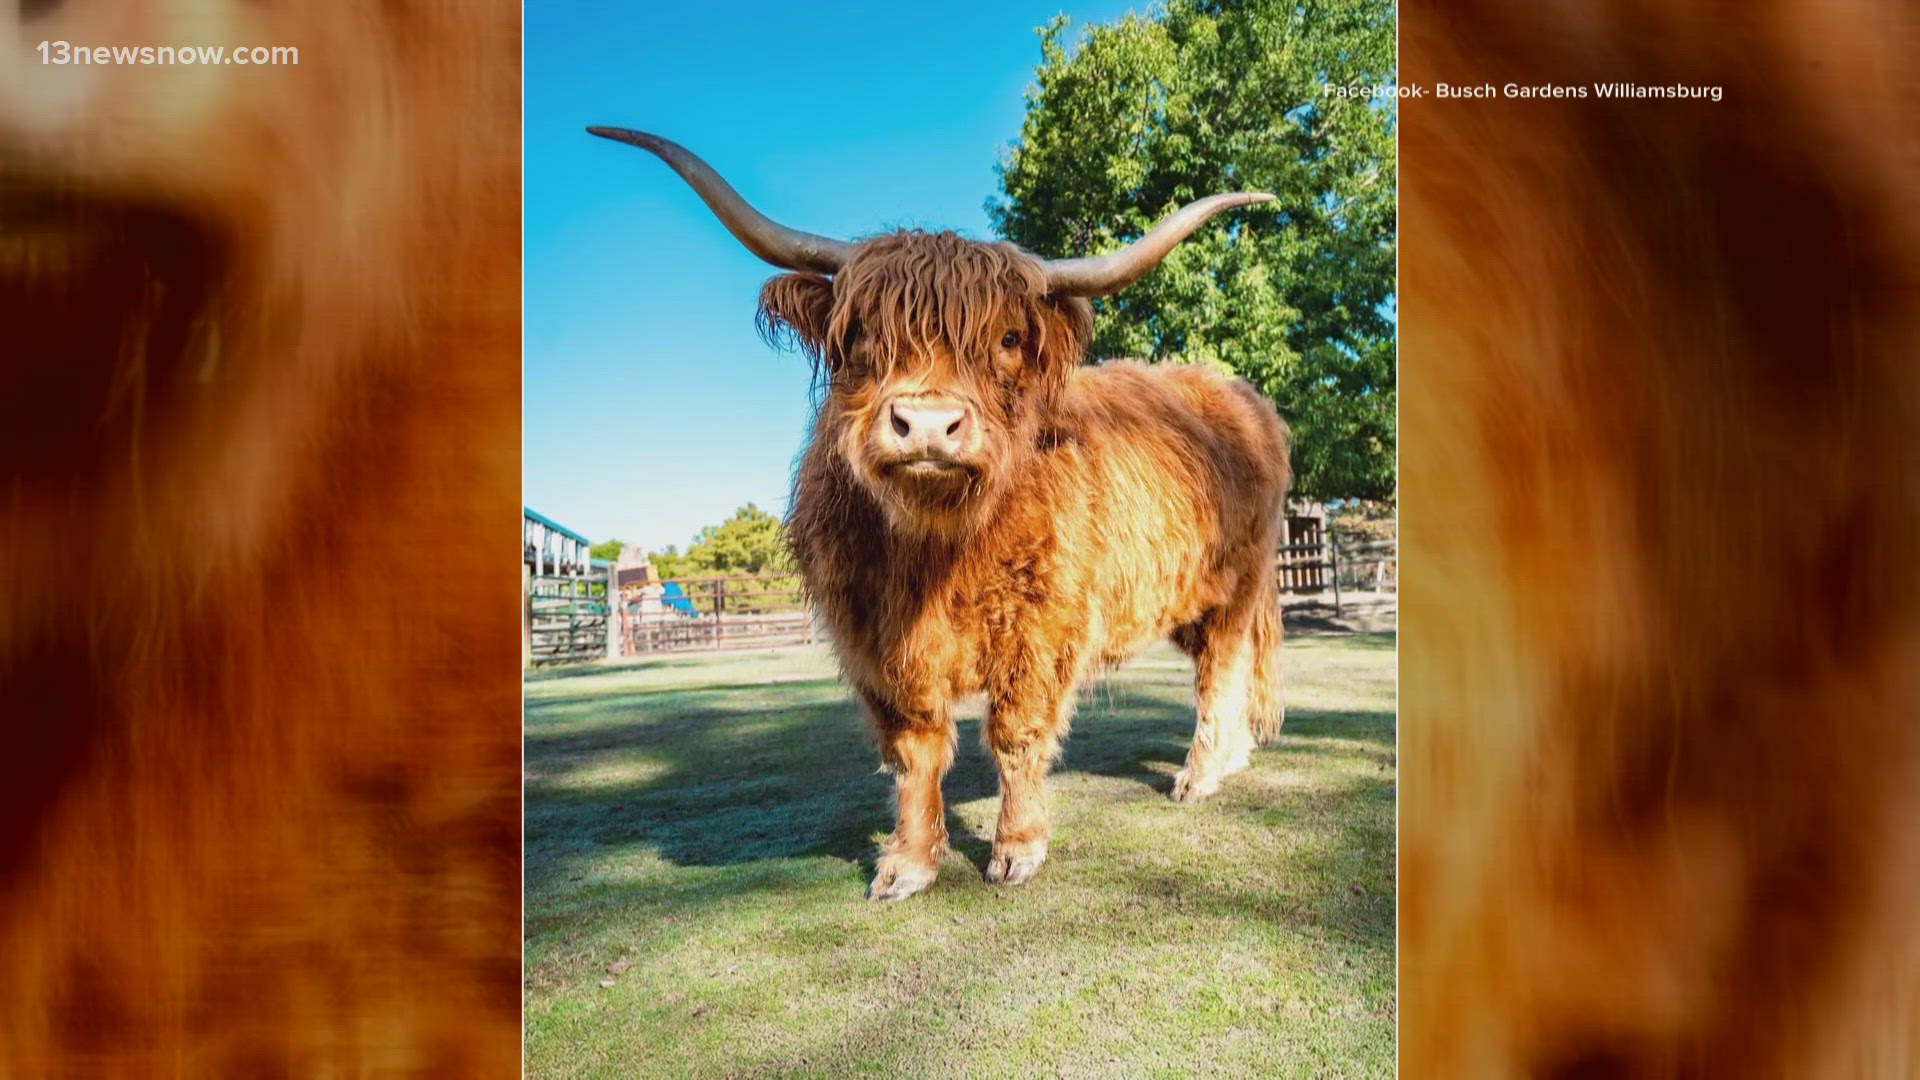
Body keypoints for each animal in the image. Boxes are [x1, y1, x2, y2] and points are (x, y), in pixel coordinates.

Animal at [591, 128, 1291, 901]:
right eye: (862, 334)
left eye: (1008, 339)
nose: (927, 426)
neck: (933, 550)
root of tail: (1234, 392)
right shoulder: (871, 640)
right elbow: (915, 747)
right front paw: (908, 861)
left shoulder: (1042, 630)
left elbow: (1016, 735)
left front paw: (1017, 848)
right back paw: (1231, 760)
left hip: (1236, 588)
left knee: (1219, 672)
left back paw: (1199, 776)